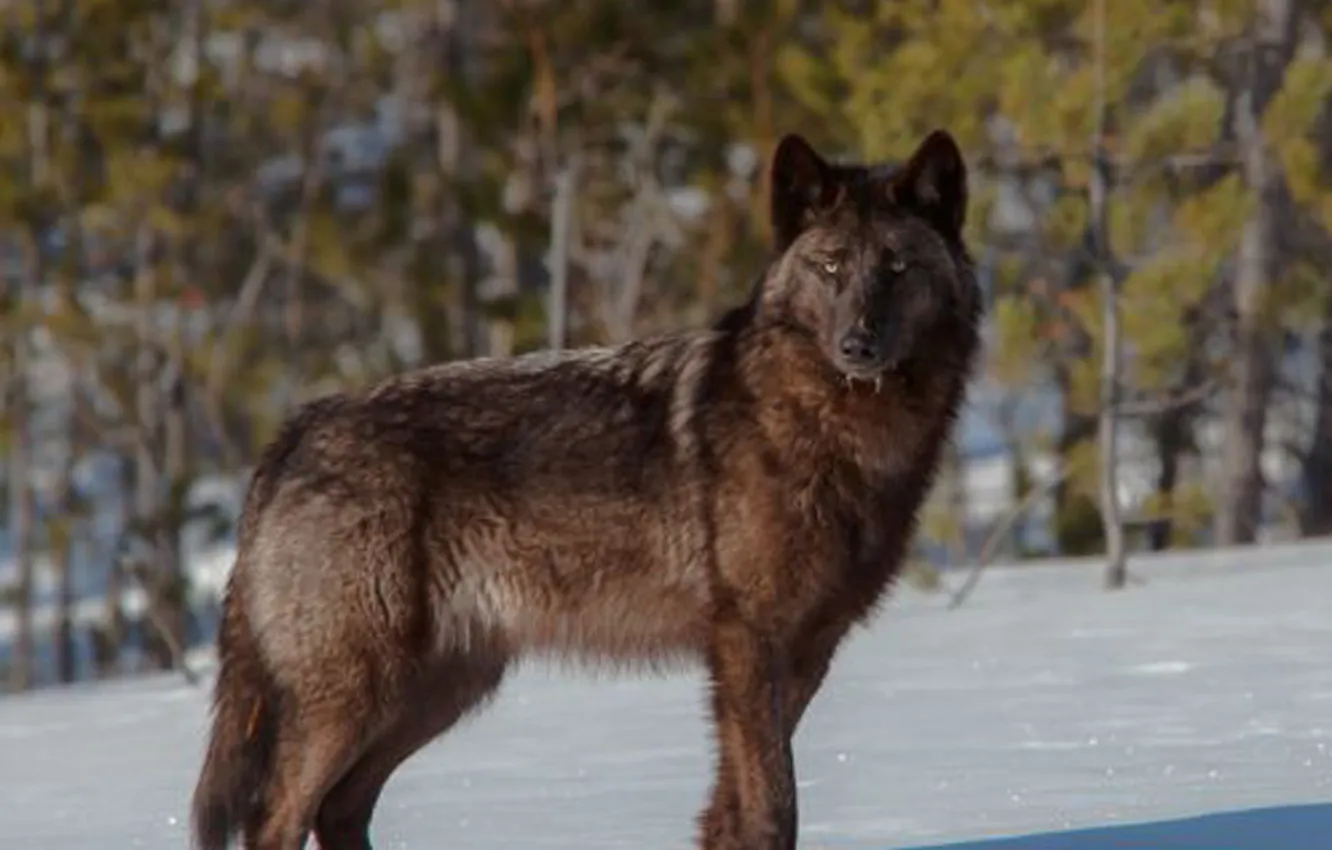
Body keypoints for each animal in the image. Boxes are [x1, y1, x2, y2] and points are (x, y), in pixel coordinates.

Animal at [191, 128, 983, 850]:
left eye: (898, 267)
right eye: (829, 266)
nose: (858, 344)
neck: (832, 429)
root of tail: (295, 430)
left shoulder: (809, 650)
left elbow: (729, 809)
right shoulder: (749, 642)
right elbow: (772, 806)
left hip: (441, 692)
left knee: (339, 809)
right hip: (360, 695)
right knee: (277, 818)